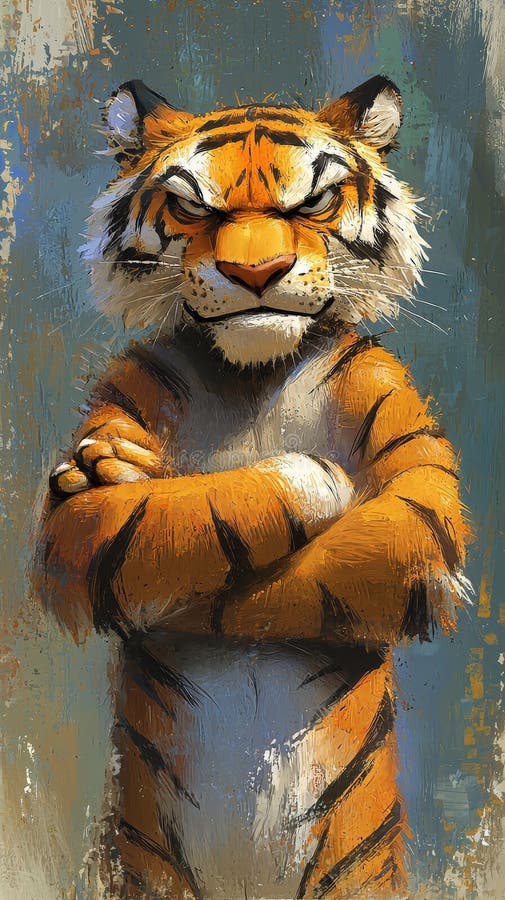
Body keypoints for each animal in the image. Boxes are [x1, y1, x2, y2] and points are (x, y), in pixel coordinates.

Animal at [36, 75, 472, 899]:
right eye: (192, 209)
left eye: (314, 204)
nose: (255, 274)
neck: (252, 376)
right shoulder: (111, 425)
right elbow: (101, 521)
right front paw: (111, 466)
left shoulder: (414, 475)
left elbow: (398, 525)